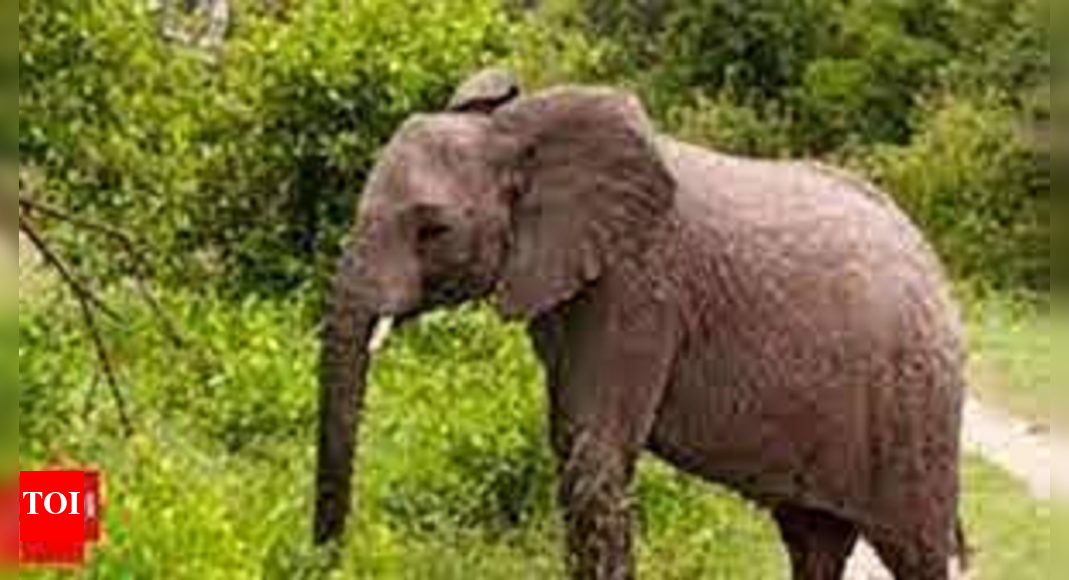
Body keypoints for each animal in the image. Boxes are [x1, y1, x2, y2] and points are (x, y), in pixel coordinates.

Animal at [314, 69, 967, 580]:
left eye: (432, 230)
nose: (330, 559)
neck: (520, 129)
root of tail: (935, 266)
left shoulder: (639, 284)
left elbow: (593, 457)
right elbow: (569, 447)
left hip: (915, 403)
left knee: (915, 550)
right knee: (814, 540)